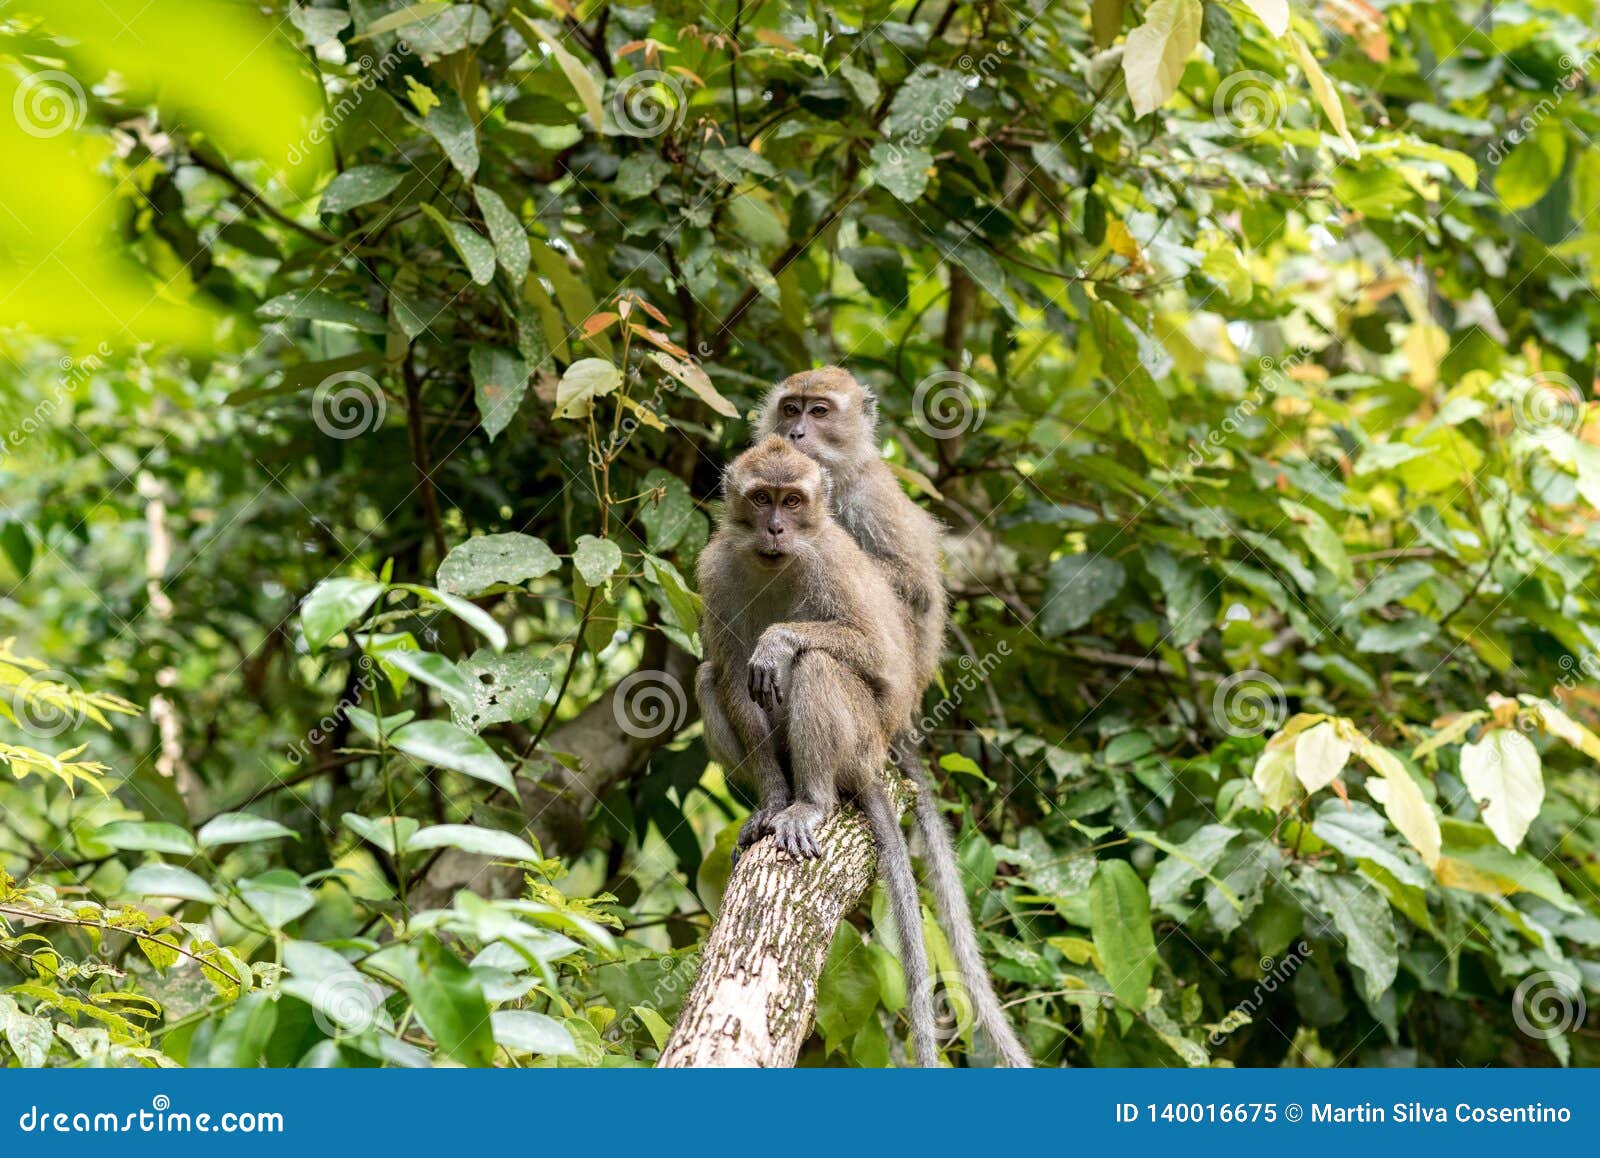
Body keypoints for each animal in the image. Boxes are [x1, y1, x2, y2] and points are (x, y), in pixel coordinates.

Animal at [695, 435, 939, 1066]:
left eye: (792, 500)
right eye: (761, 498)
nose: (777, 529)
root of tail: (874, 765)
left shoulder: (833, 560)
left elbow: (876, 655)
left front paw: (778, 640)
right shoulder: (716, 570)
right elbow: (732, 671)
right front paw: (770, 801)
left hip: (862, 740)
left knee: (819, 664)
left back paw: (813, 801)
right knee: (709, 677)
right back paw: (781, 799)